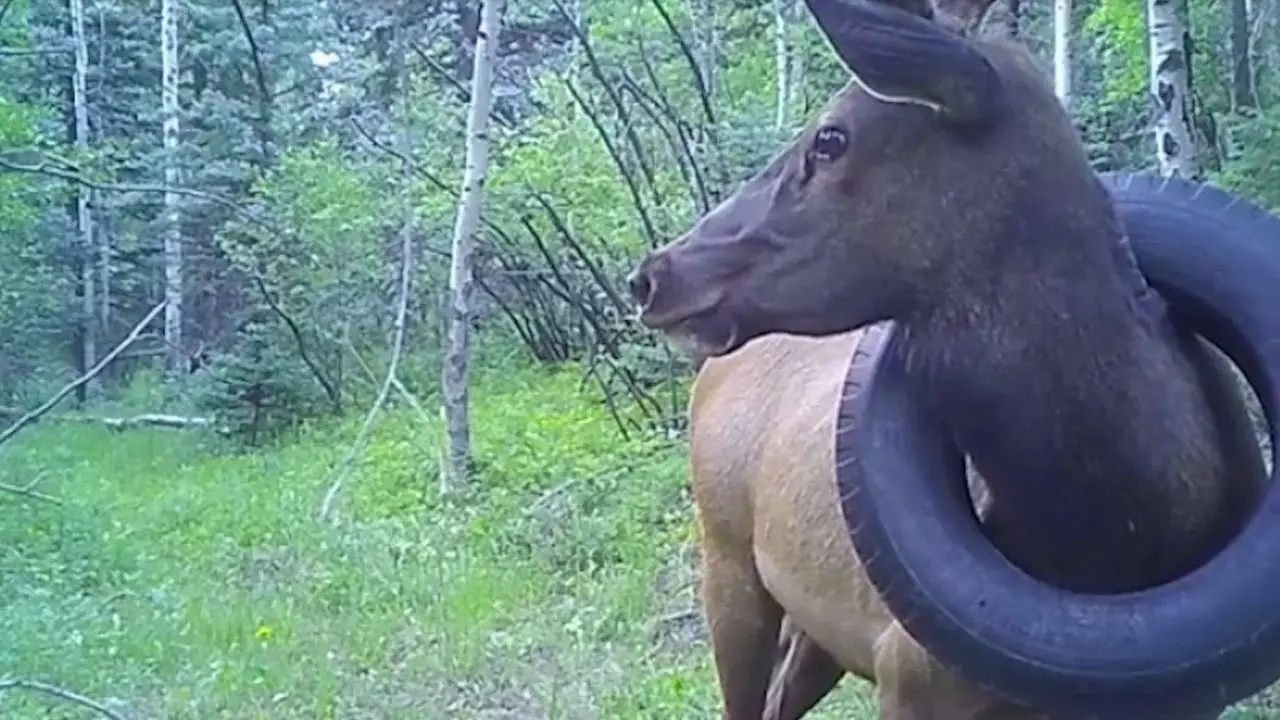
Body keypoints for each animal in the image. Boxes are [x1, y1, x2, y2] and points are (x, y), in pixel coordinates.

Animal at [624, 1, 1280, 717]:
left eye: (830, 139)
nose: (653, 275)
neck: (1127, 521)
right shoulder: (911, 673)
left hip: (812, 629)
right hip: (727, 563)